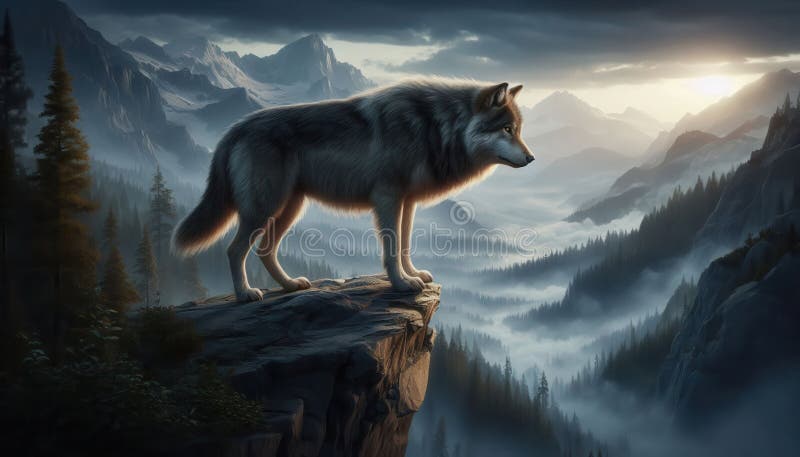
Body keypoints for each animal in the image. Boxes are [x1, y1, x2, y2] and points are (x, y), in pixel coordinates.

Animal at [173, 78, 534, 301]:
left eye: (518, 130)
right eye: (507, 129)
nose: (531, 158)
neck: (436, 126)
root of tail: (234, 128)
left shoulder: (408, 202)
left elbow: (405, 245)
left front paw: (413, 275)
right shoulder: (388, 198)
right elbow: (391, 249)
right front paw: (402, 284)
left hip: (289, 208)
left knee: (265, 250)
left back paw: (290, 285)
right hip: (264, 208)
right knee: (235, 250)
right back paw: (246, 295)